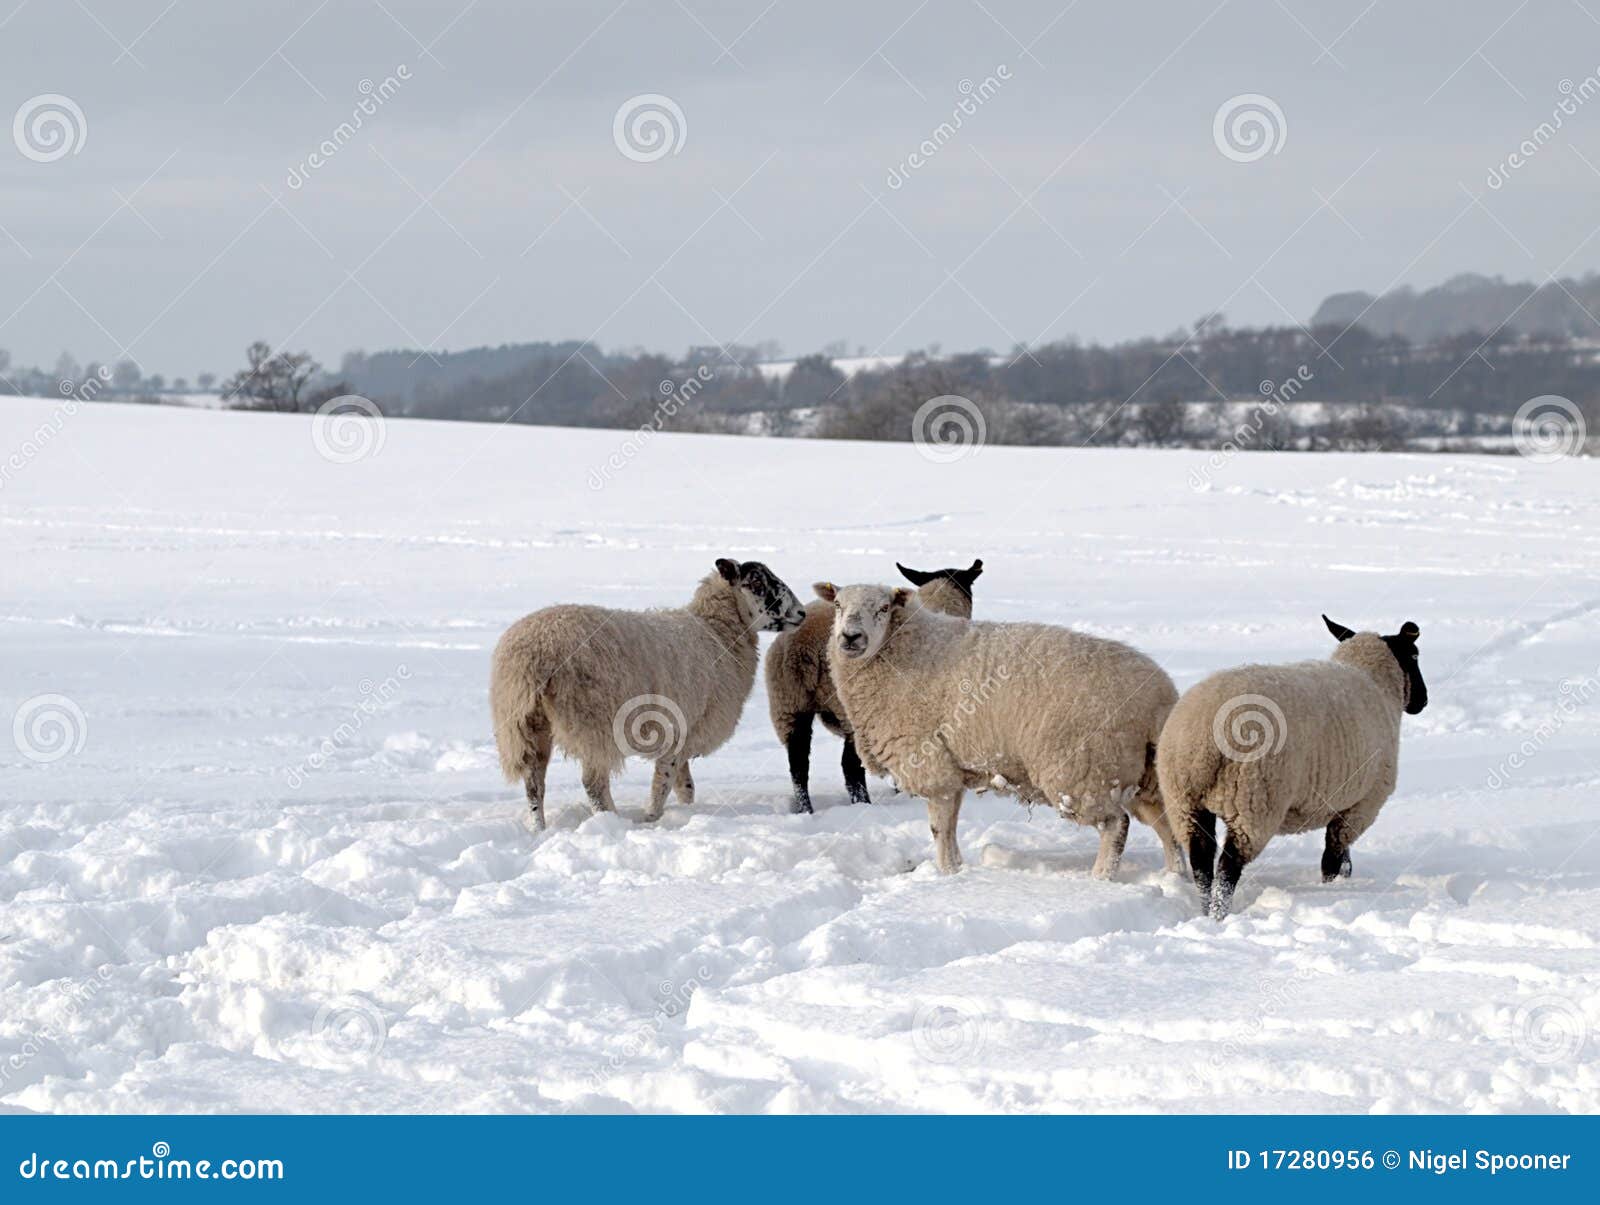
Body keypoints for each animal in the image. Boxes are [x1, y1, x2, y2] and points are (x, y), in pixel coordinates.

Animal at [490, 559, 805, 830]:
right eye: (757, 582)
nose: (802, 613)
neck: (716, 633)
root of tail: (534, 652)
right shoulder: (675, 729)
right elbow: (663, 782)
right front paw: (651, 818)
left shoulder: (686, 733)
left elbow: (685, 786)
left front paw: (685, 810)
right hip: (593, 720)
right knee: (593, 784)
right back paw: (612, 820)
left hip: (525, 724)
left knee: (534, 785)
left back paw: (538, 829)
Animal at [766, 559, 983, 814]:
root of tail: (805, 647)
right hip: (852, 713)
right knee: (849, 767)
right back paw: (863, 804)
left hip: (790, 704)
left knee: (799, 765)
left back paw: (806, 810)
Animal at [817, 582, 1185, 877]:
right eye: (838, 606)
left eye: (883, 608)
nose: (850, 637)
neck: (903, 650)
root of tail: (1160, 698)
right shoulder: (953, 768)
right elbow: (950, 827)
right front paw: (957, 869)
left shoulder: (931, 764)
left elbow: (939, 828)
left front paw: (945, 873)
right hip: (1142, 774)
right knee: (1166, 824)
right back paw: (1175, 875)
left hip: (1085, 769)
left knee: (1115, 825)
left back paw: (1100, 878)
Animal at [1157, 615, 1428, 920]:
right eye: (1414, 655)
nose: (1423, 701)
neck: (1376, 682)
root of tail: (1200, 738)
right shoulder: (1362, 804)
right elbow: (1333, 857)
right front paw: (1331, 890)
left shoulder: (1341, 802)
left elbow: (1341, 857)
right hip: (1253, 803)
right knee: (1228, 868)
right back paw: (1219, 916)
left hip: (1184, 804)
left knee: (1201, 864)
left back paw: (1206, 914)